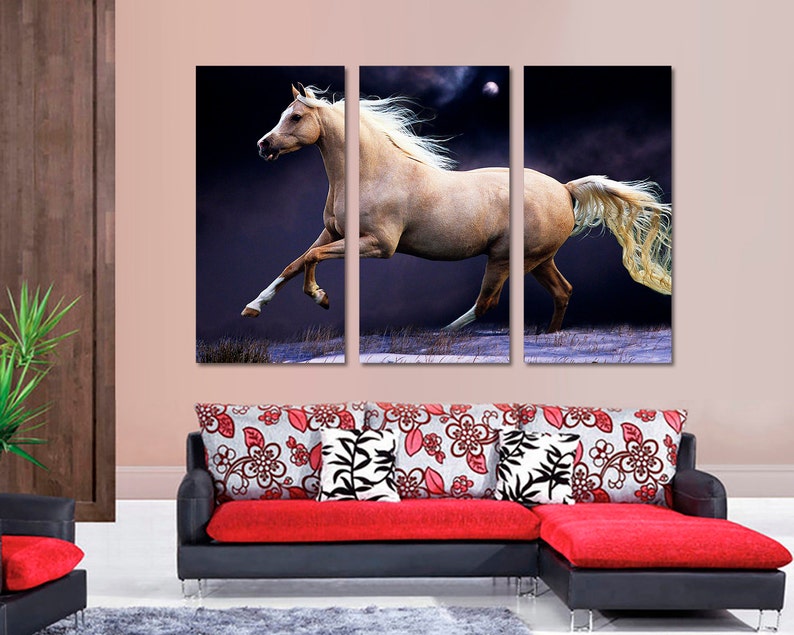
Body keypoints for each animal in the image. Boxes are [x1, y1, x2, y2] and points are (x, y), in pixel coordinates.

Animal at [242, 83, 671, 334]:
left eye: (296, 116)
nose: (263, 146)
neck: (374, 172)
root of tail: (565, 190)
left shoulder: (377, 245)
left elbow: (311, 259)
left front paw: (321, 297)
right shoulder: (334, 233)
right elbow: (295, 261)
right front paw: (253, 307)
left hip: (506, 258)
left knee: (487, 303)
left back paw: (440, 336)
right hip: (538, 259)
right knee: (562, 292)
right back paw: (549, 336)